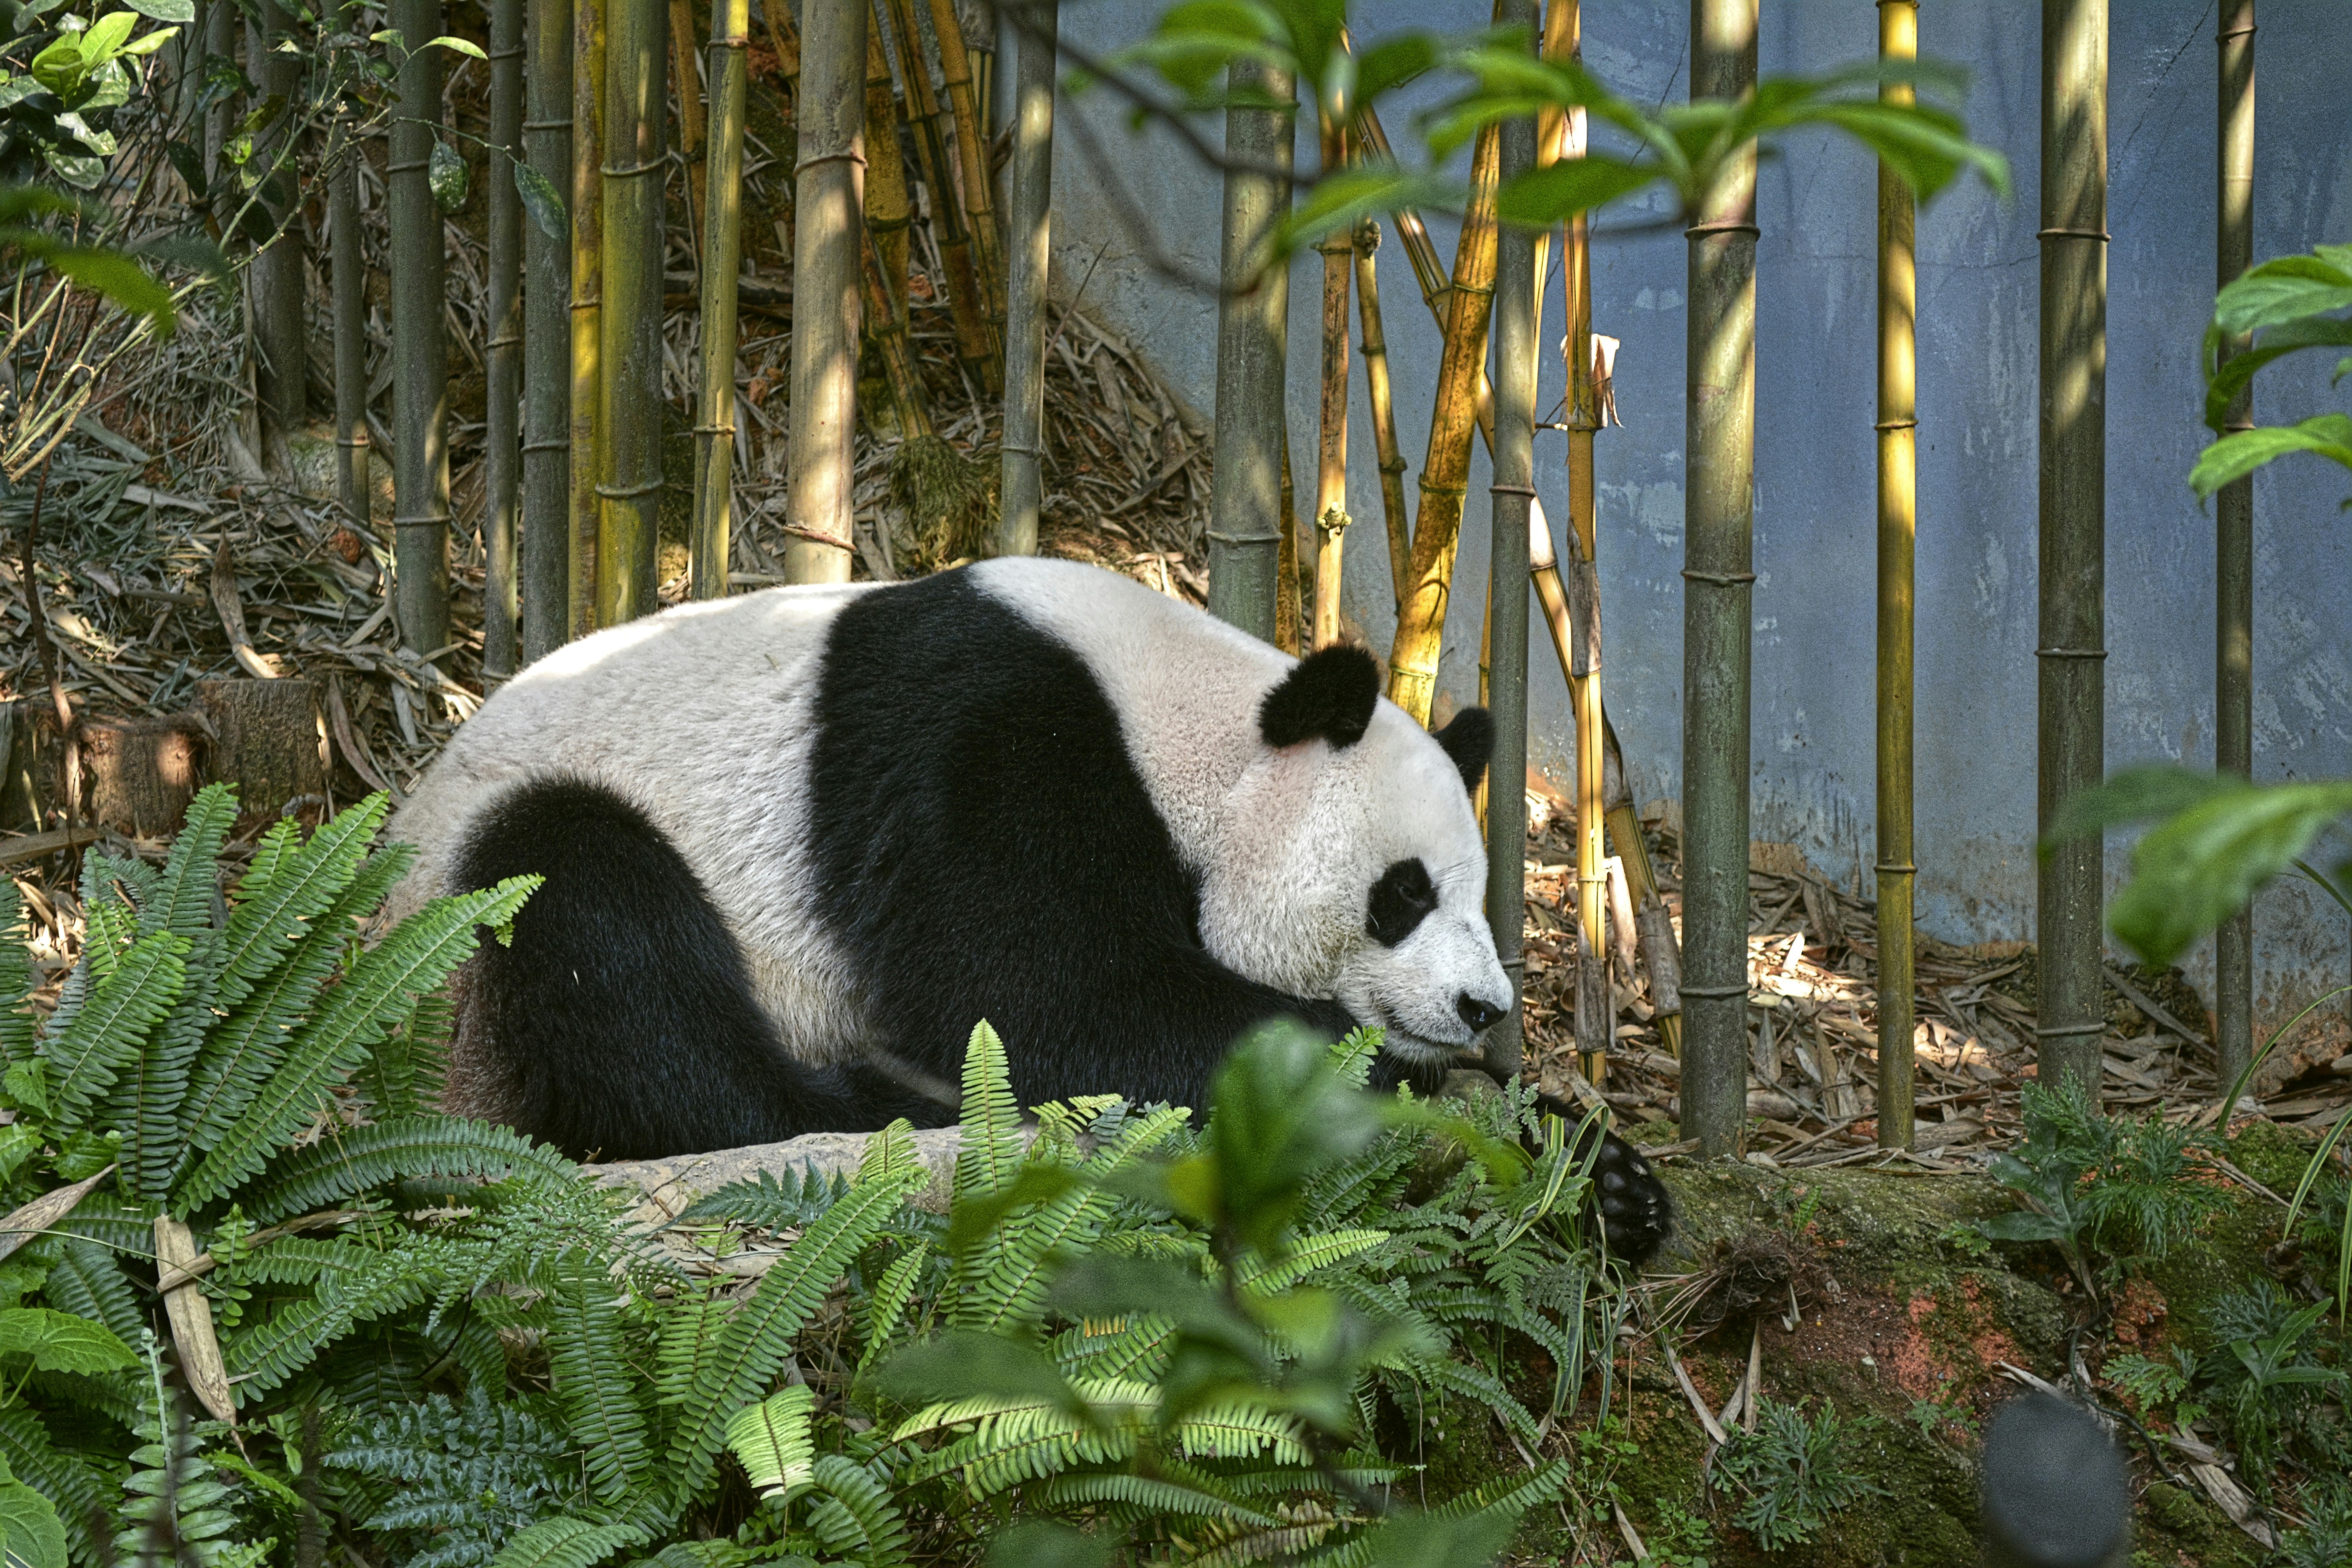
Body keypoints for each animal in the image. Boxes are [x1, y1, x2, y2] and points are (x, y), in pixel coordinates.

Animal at [387, 557, 1671, 1260]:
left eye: (1471, 895)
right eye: (1401, 893)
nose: (1480, 1007)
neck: (1187, 721)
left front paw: (1608, 1179)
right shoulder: (983, 750)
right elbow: (1047, 1002)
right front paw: (1403, 1083)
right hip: (470, 925)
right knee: (599, 932)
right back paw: (879, 1104)